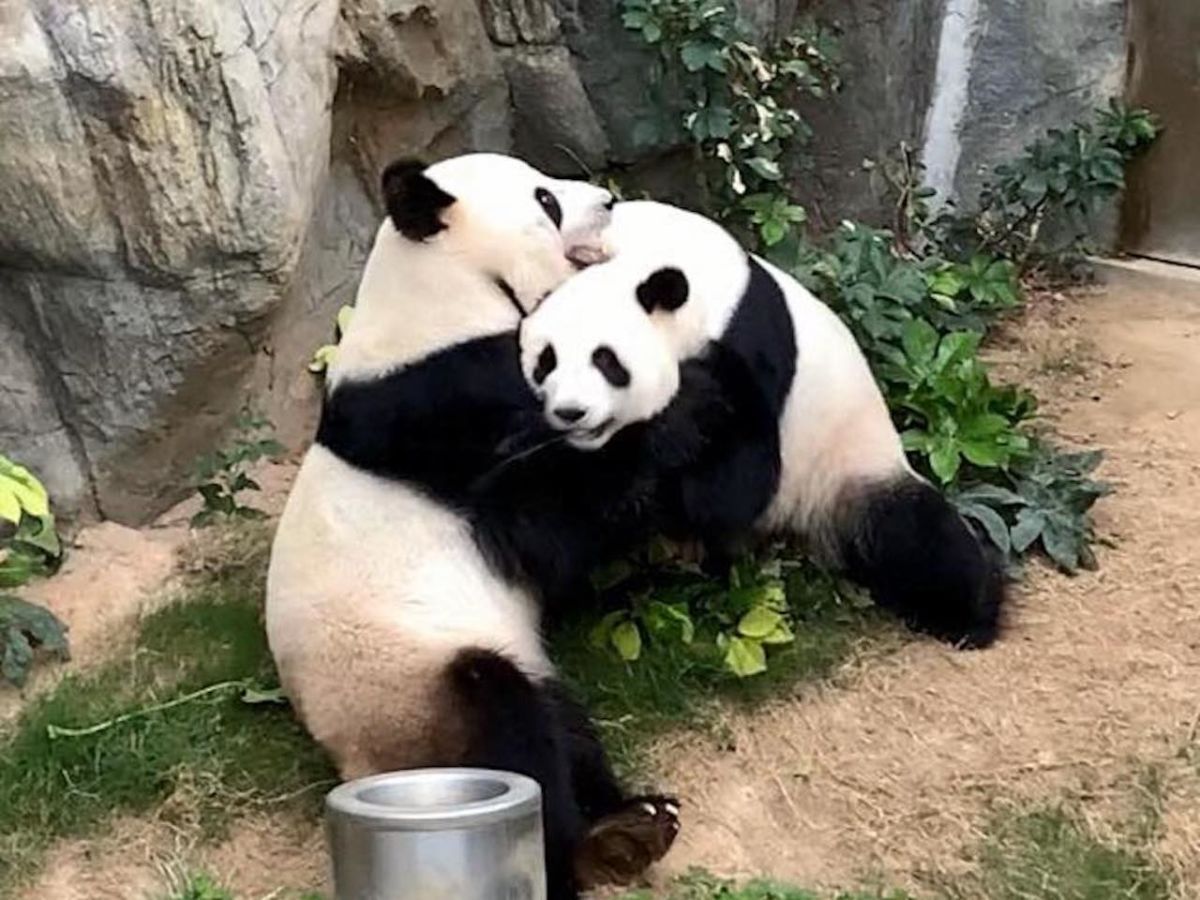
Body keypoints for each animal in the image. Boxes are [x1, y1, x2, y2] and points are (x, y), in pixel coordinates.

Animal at [266, 155, 685, 899]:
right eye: (546, 201)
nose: (608, 201)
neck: (441, 294)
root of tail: (354, 764)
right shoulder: (445, 408)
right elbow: (542, 524)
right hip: (409, 689)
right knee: (506, 723)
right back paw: (584, 849)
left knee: (563, 724)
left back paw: (632, 823)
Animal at [518, 200, 1005, 649]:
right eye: (546, 361)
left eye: (606, 361)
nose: (571, 412)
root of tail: (793, 532)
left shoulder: (750, 346)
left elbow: (735, 486)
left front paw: (675, 424)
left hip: (846, 468)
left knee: (916, 536)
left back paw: (970, 617)